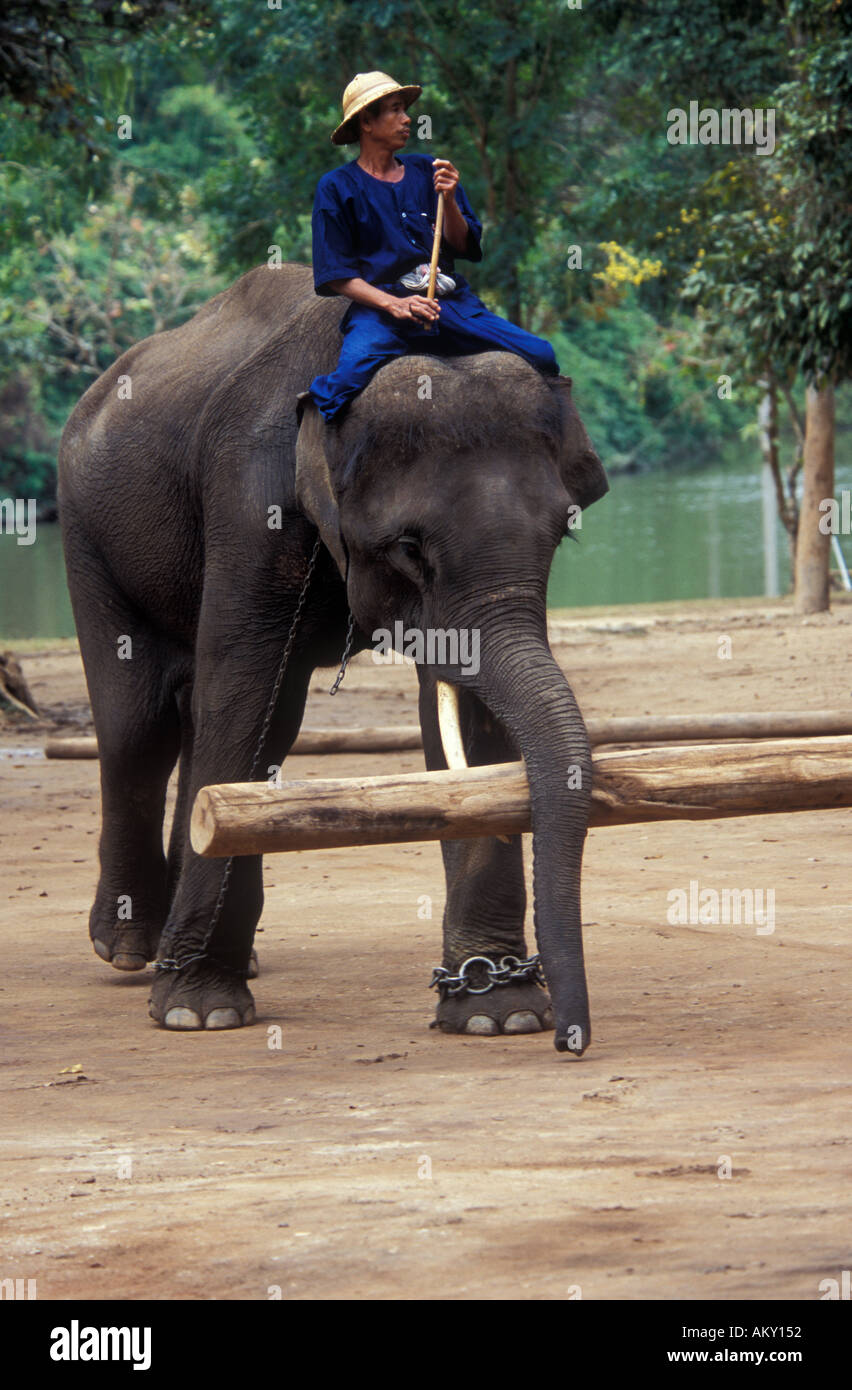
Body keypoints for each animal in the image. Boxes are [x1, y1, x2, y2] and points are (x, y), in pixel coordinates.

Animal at [58, 262, 608, 1053]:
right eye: (409, 547)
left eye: (563, 533)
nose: (571, 1038)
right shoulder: (251, 496)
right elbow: (243, 692)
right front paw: (199, 1012)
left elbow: (465, 716)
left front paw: (495, 1014)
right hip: (86, 531)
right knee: (143, 727)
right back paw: (130, 950)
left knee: (234, 720)